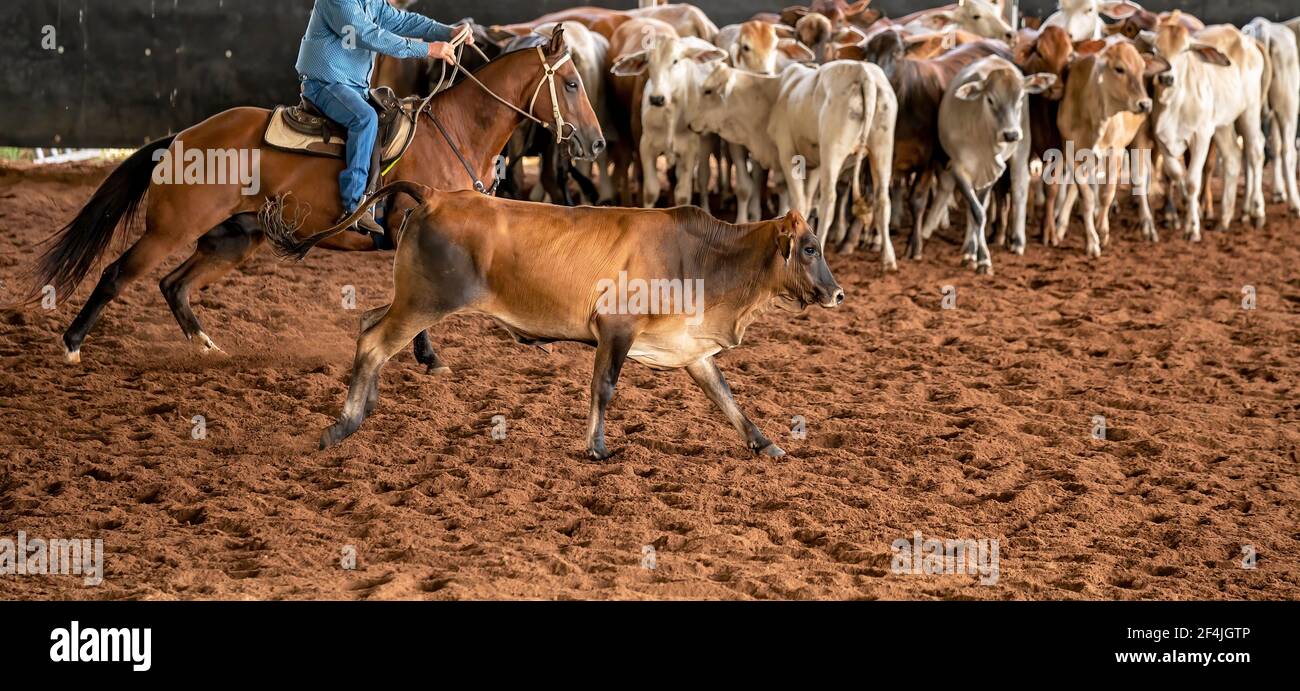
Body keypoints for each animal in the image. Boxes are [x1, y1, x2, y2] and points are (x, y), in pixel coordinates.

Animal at [263, 182, 844, 460]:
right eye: (809, 247)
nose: (837, 293)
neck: (701, 259)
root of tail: (436, 195)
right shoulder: (615, 329)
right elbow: (604, 387)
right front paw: (596, 447)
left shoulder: (691, 349)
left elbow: (726, 399)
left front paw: (766, 443)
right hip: (424, 301)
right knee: (374, 343)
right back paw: (342, 425)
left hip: (409, 299)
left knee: (367, 325)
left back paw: (365, 408)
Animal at [689, 59, 898, 268]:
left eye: (708, 91)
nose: (690, 124)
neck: (773, 97)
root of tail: (863, 73)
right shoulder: (814, 165)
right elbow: (807, 200)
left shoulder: (788, 155)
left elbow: (799, 201)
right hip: (882, 149)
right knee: (882, 200)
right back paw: (888, 259)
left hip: (832, 150)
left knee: (828, 201)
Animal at [933, 56, 1056, 273]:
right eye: (990, 100)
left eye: (1020, 98)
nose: (1011, 134)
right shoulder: (959, 168)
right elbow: (976, 212)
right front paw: (971, 253)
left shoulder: (992, 172)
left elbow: (981, 212)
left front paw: (983, 259)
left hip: (1022, 146)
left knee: (1019, 189)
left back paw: (1017, 241)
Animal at [1147, 22, 1268, 240]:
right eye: (1155, 50)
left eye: (1184, 50)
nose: (1166, 78)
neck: (1175, 102)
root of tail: (1247, 40)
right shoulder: (1161, 139)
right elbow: (1177, 174)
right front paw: (1190, 212)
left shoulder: (1201, 135)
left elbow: (1192, 181)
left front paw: (1193, 228)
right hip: (1222, 124)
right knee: (1232, 157)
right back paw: (1224, 219)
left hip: (1250, 110)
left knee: (1255, 152)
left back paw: (1258, 212)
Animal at [1243, 17, 1300, 217]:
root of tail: (1263, 27)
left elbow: (1274, 146)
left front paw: (1277, 191)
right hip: (1288, 105)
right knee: (1288, 150)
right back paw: (1295, 203)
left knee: (1253, 148)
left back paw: (1250, 206)